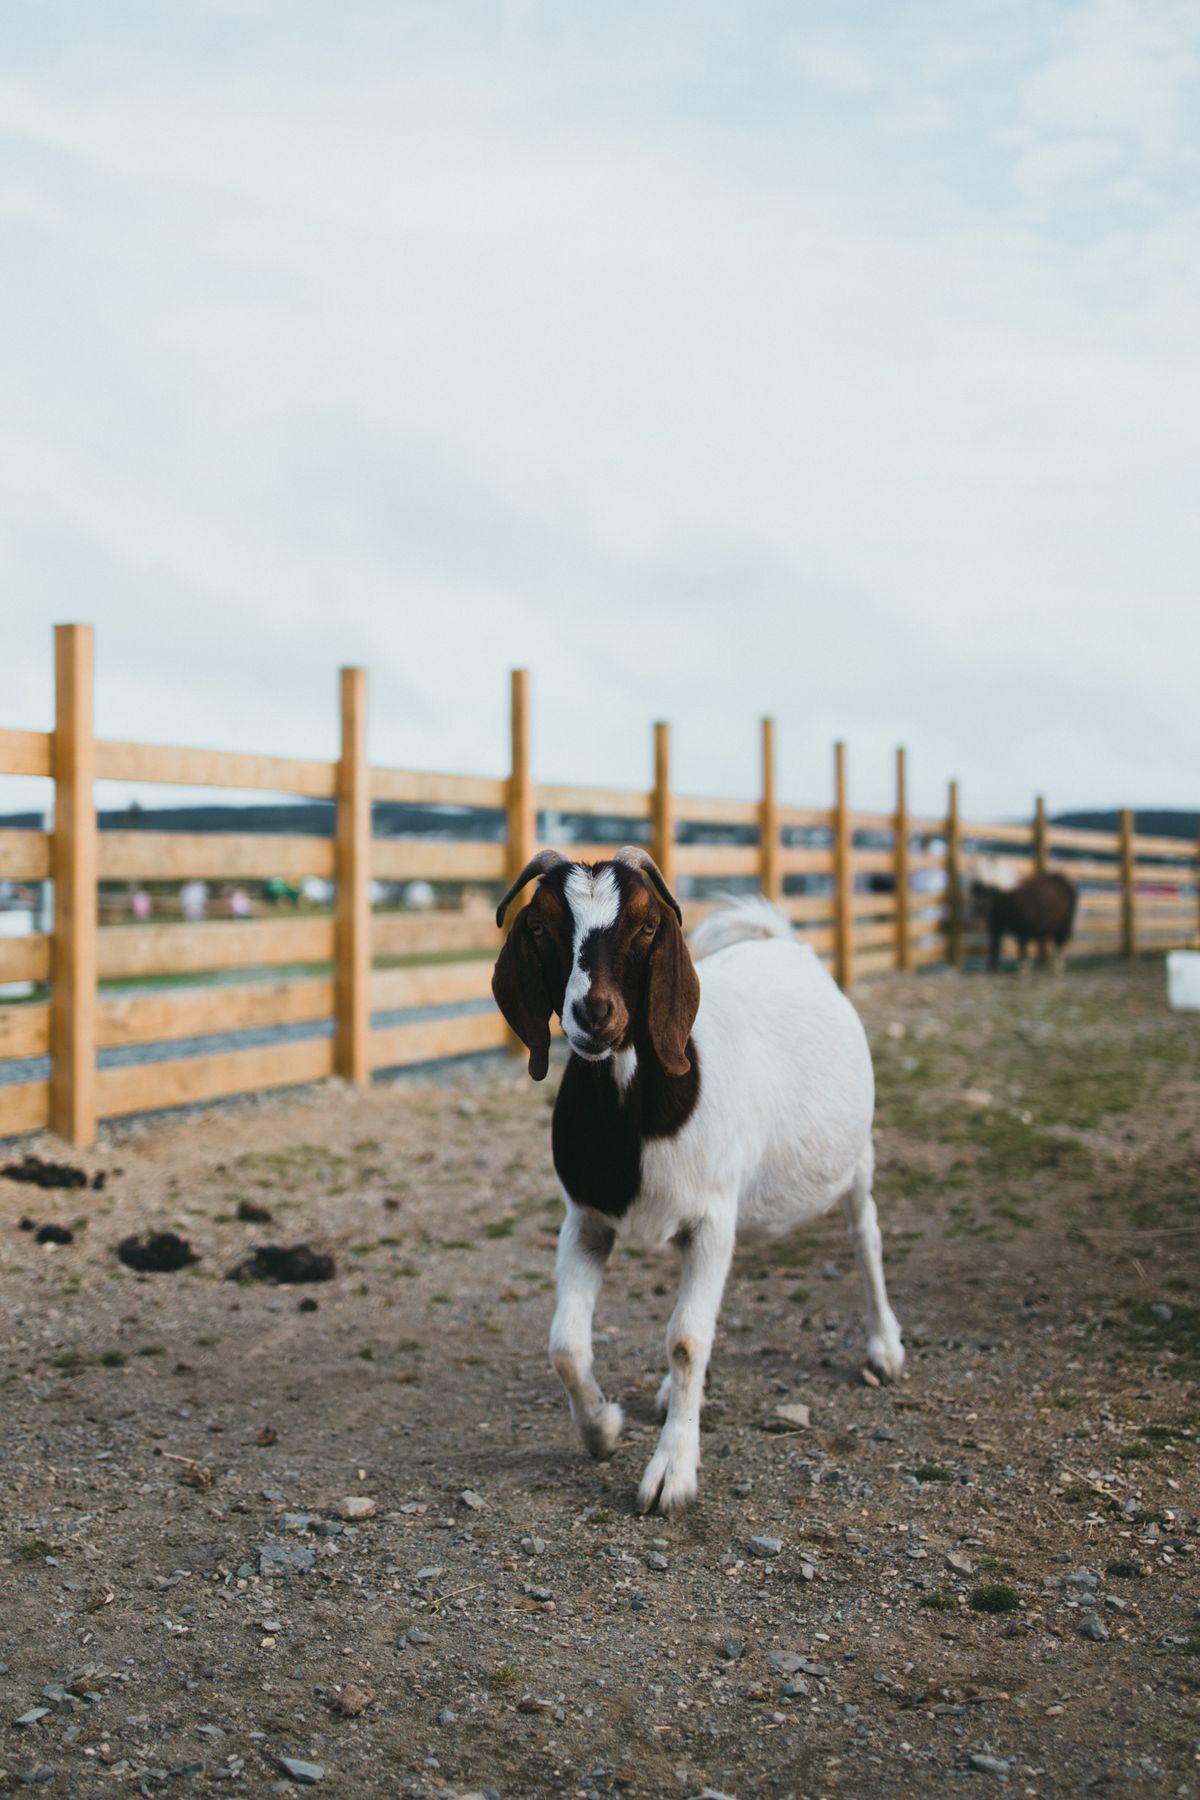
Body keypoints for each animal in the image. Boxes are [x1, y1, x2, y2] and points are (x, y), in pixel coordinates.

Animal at [492, 848, 904, 1516]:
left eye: (645, 925)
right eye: (541, 928)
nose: (594, 1013)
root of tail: (781, 943)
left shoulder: (711, 1218)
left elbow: (685, 1339)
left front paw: (671, 1473)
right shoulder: (587, 1219)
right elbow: (566, 1345)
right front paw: (602, 1429)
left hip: (856, 1156)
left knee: (865, 1236)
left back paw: (885, 1348)